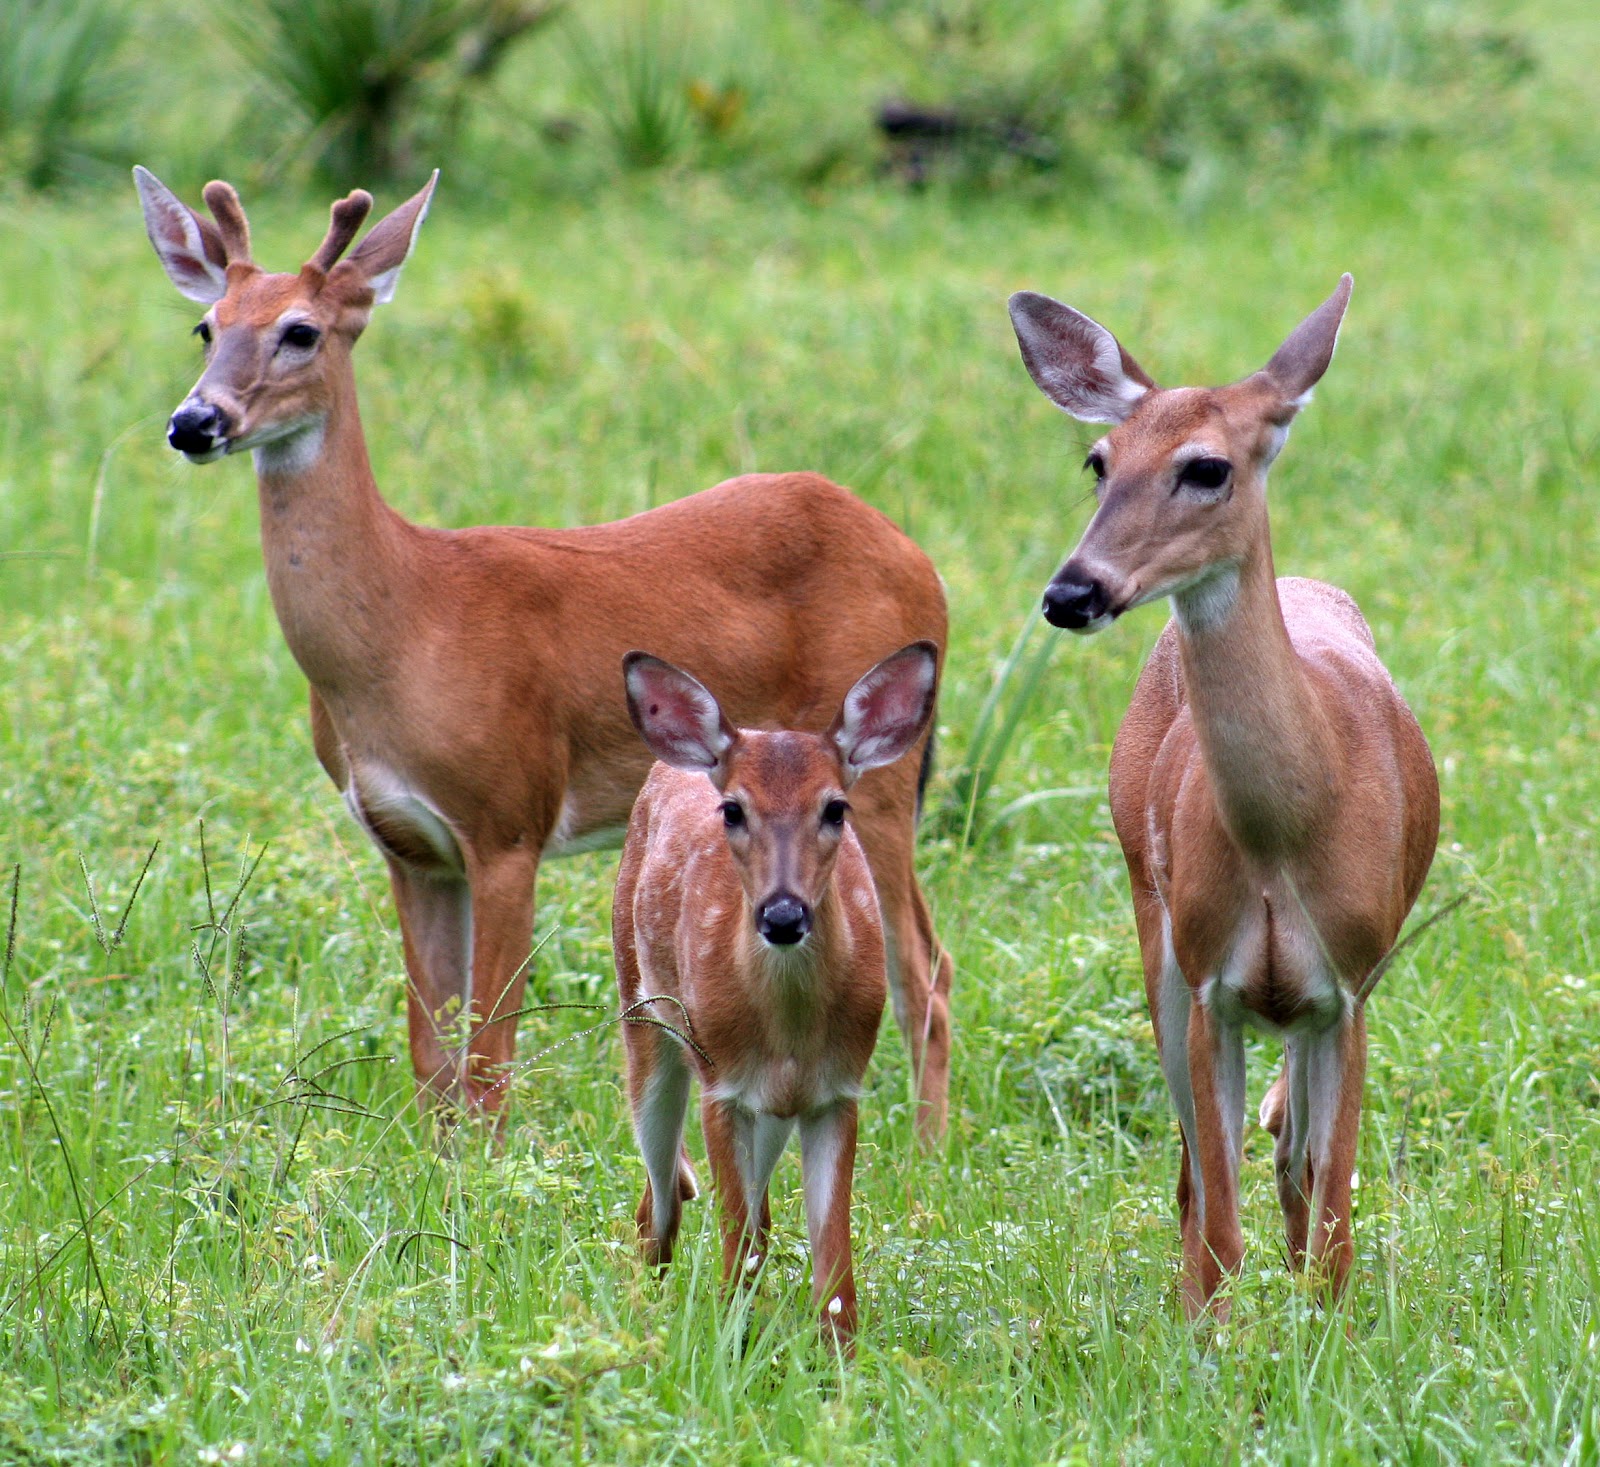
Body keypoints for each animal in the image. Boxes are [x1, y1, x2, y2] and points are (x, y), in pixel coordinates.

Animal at [132, 166, 955, 1140]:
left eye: (301, 330)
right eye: (206, 325)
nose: (195, 421)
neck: (404, 627)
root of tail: (916, 556)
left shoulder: (509, 817)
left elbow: (490, 1057)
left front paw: (484, 1173)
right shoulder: (409, 846)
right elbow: (433, 1053)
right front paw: (436, 1163)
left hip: (883, 778)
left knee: (925, 968)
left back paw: (932, 1152)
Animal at [613, 640, 939, 1345]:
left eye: (836, 807)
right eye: (734, 810)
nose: (783, 915)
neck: (790, 1027)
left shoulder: (837, 1089)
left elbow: (833, 1270)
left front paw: (840, 1357)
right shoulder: (721, 1083)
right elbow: (734, 1244)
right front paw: (728, 1342)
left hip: (772, 1111)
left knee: (751, 1216)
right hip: (643, 1015)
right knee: (660, 1203)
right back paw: (645, 1301)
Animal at [1006, 275, 1439, 1316]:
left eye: (1206, 467)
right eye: (1098, 461)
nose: (1071, 593)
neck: (1293, 829)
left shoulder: (1349, 986)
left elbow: (1332, 1213)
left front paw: (1327, 1333)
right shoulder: (1210, 982)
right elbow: (1220, 1221)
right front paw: (1209, 1337)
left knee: (1291, 1157)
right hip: (1152, 918)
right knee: (1199, 1177)